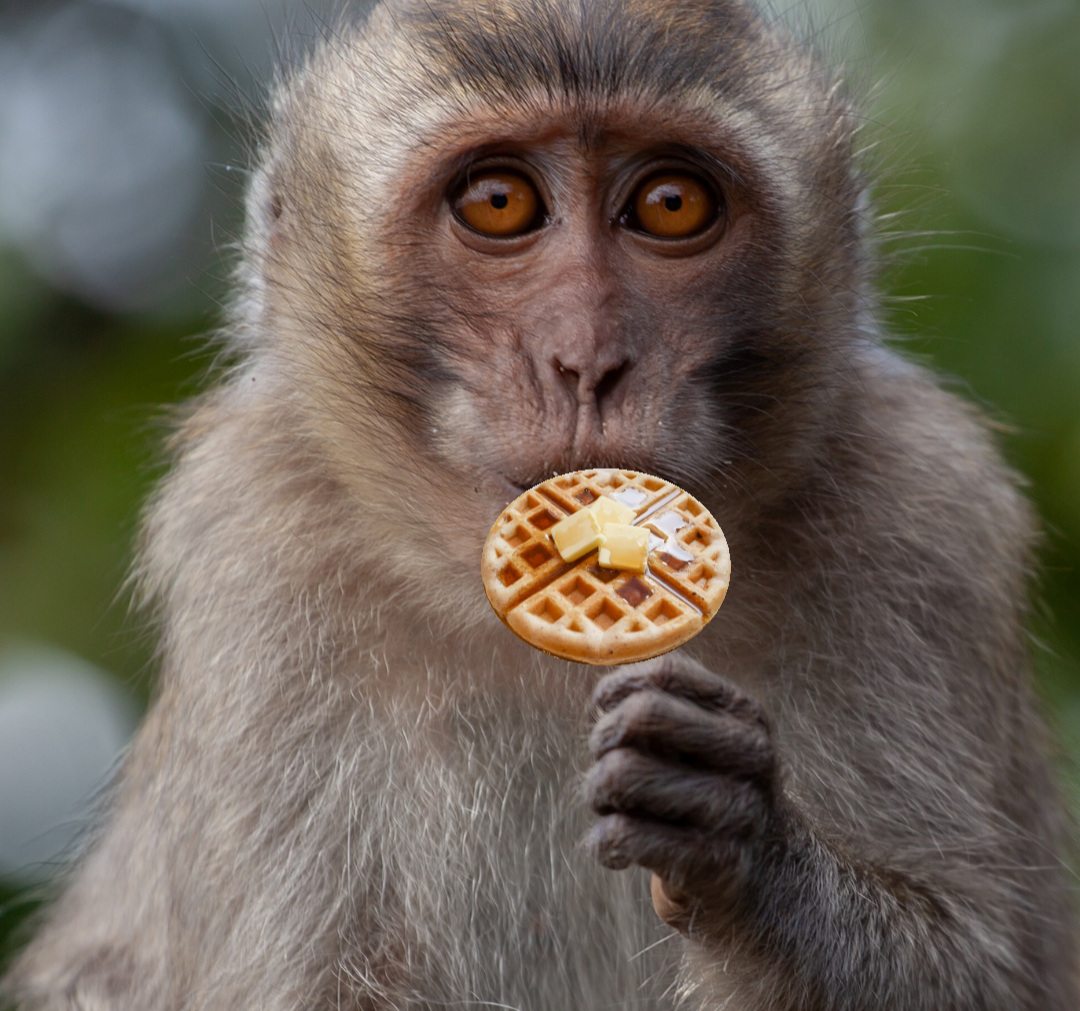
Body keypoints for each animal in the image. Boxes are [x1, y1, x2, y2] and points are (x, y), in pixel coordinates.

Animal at [2, 0, 1076, 1007]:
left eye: (672, 204)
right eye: (499, 201)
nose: (588, 359)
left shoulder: (928, 513)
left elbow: (982, 965)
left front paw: (745, 849)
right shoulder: (252, 541)